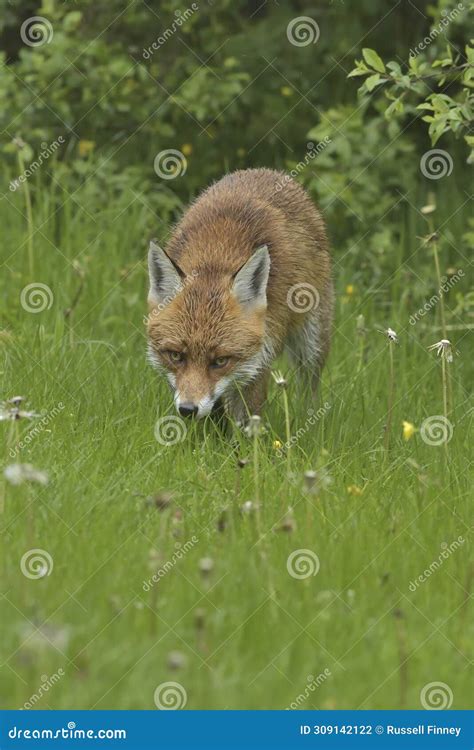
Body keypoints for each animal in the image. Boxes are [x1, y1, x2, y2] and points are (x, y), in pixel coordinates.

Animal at [147, 168, 333, 423]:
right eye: (176, 356)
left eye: (220, 361)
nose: (187, 410)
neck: (215, 255)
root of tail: (267, 171)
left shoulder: (257, 361)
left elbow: (247, 419)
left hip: (311, 345)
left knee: (309, 390)